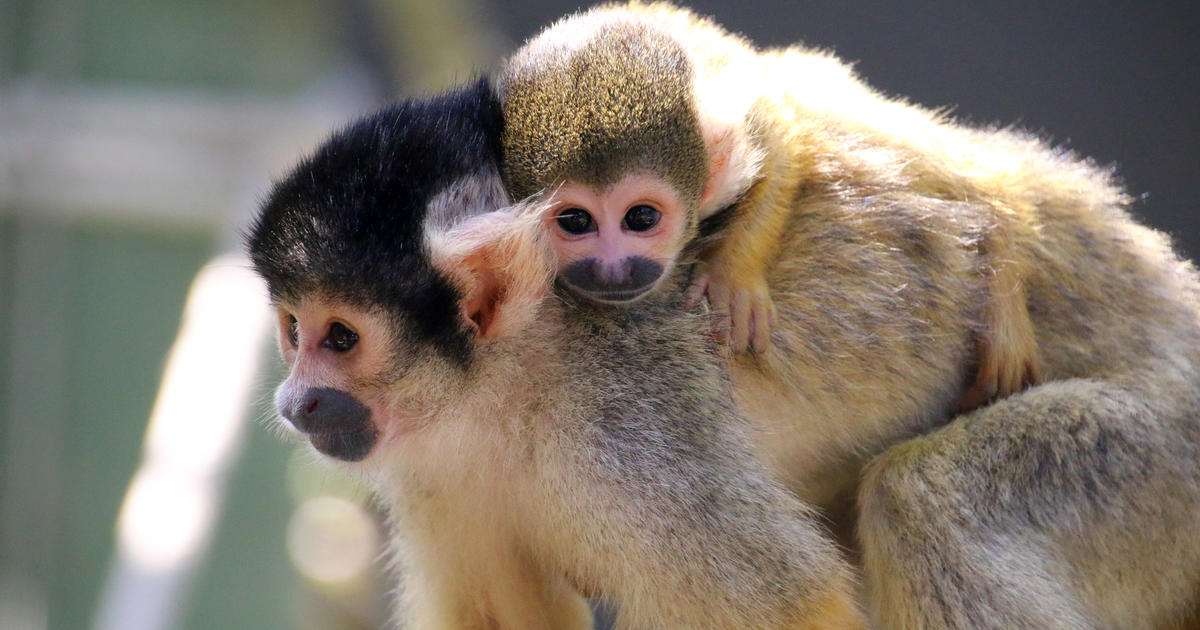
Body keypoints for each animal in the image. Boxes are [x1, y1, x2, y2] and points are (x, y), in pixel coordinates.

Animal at [247, 78, 868, 629]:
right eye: (296, 330)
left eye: (341, 338)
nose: (295, 403)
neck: (510, 387)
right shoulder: (435, 463)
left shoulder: (629, 437)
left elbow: (791, 609)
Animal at [497, 4, 1200, 628]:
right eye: (574, 223)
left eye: (641, 217)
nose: (612, 272)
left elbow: (783, 130)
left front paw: (735, 274)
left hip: (1164, 461)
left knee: (921, 497)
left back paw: (998, 232)